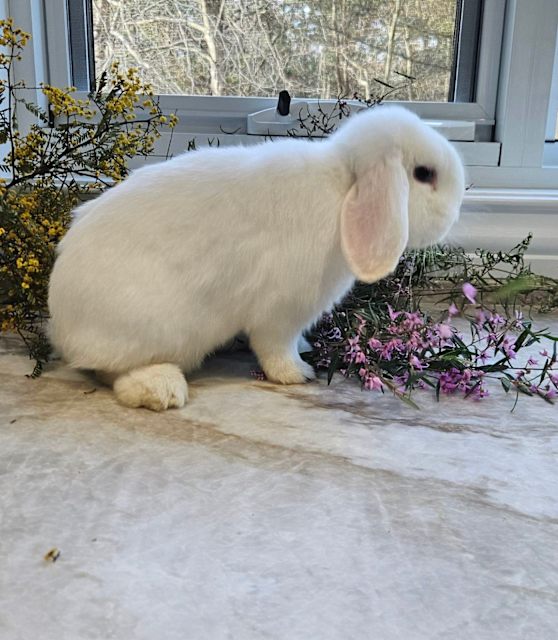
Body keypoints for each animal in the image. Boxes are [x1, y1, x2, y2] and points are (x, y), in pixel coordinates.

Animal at [48, 105, 465, 411]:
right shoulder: (281, 311)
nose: (457, 209)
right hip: (158, 329)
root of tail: (63, 326)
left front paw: (305, 351)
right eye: (423, 174)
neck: (342, 189)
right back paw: (161, 389)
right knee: (111, 372)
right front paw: (298, 373)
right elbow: (275, 347)